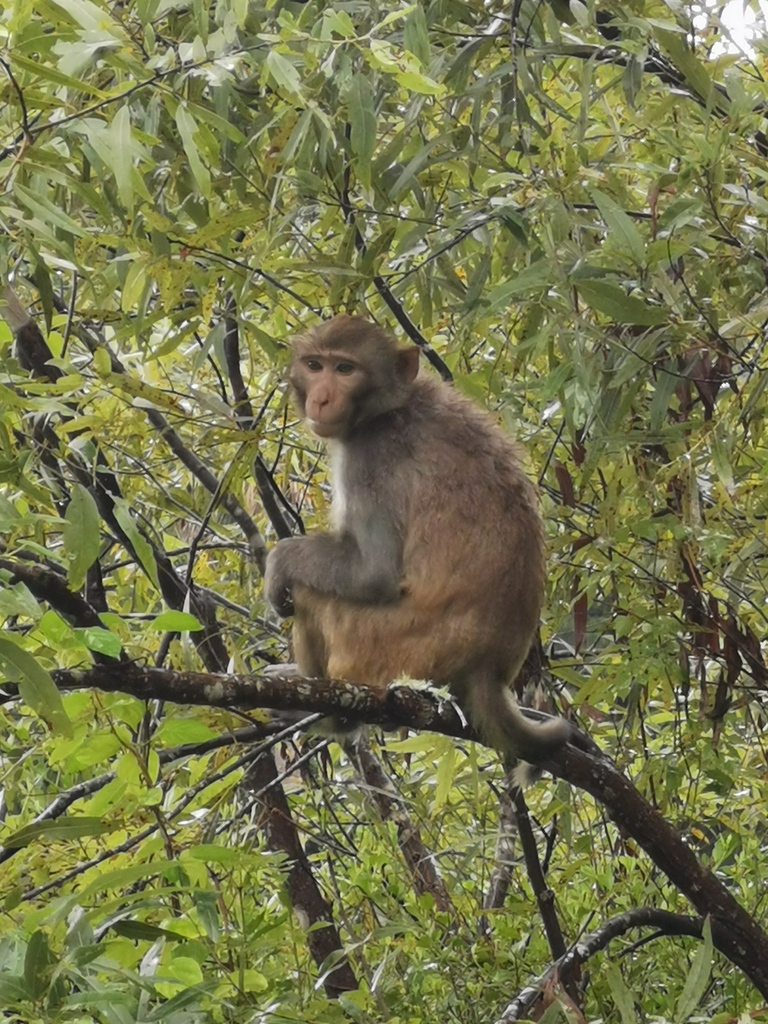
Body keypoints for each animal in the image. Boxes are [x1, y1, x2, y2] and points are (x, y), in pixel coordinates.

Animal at [264, 315, 571, 766]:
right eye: (315, 365)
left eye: (345, 369)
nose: (320, 399)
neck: (392, 406)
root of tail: (488, 670)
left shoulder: (371, 457)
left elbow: (374, 574)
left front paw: (279, 563)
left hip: (384, 650)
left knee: (314, 595)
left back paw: (328, 713)